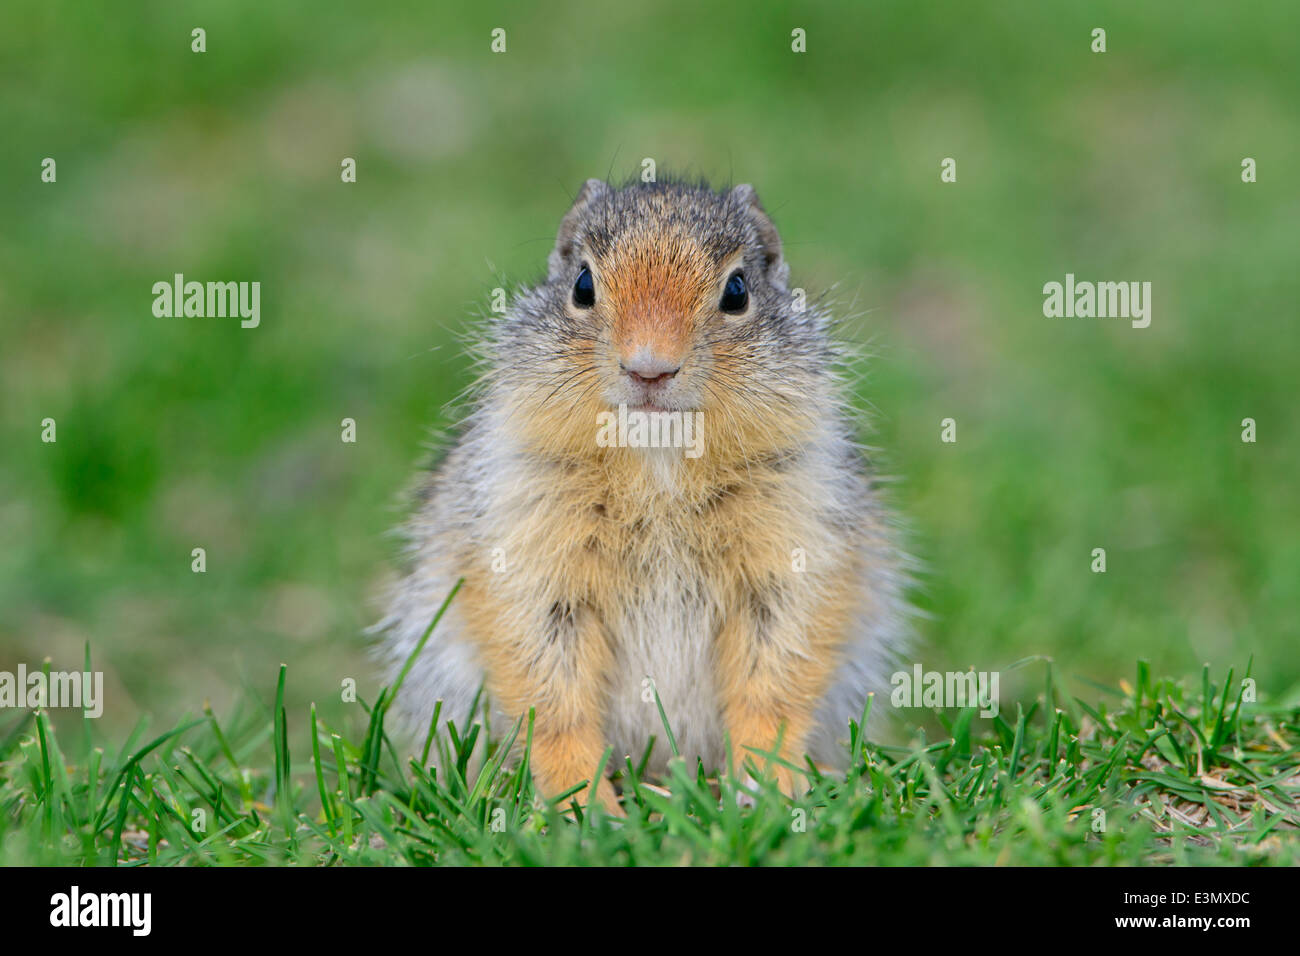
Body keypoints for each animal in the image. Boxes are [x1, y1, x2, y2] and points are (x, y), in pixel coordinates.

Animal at [376, 176, 909, 813]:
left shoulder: (793, 553)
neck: (659, 460)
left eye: (737, 291)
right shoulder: (529, 559)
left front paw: (769, 783)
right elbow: (552, 699)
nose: (649, 369)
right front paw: (581, 804)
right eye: (582, 285)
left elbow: (772, 684)